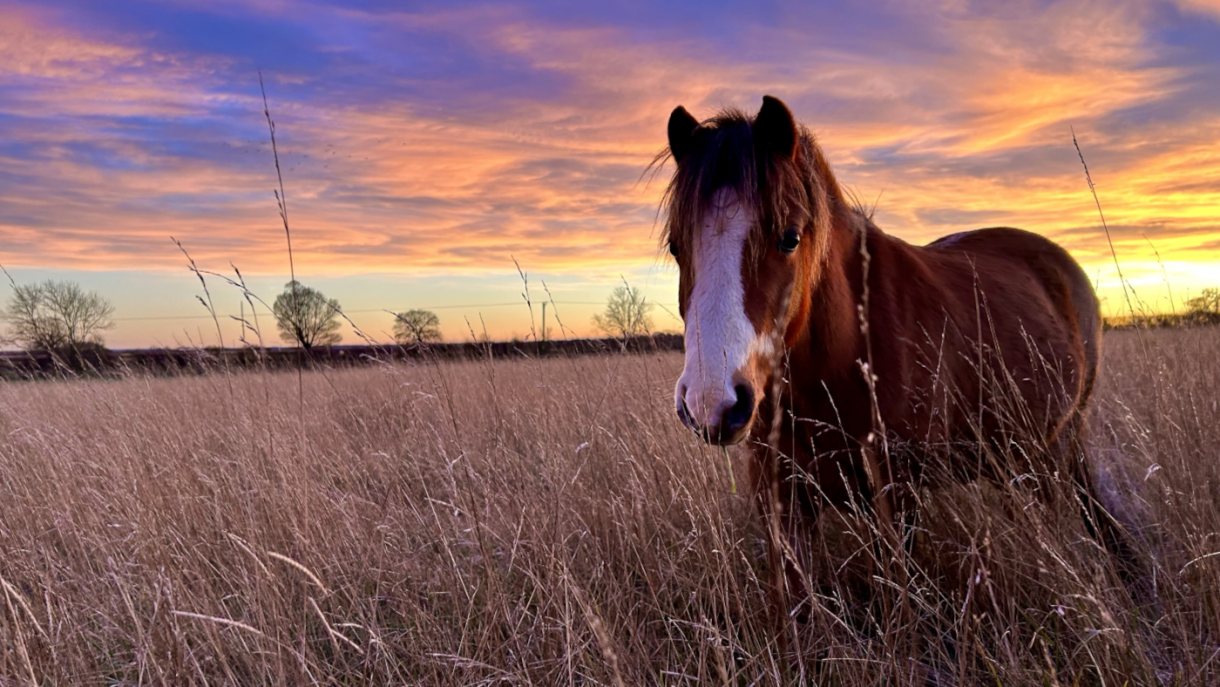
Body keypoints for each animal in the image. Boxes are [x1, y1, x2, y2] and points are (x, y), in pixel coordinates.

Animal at [660, 95, 1131, 604]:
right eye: (676, 246)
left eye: (789, 237)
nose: (712, 403)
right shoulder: (782, 499)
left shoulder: (896, 491)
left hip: (1062, 444)